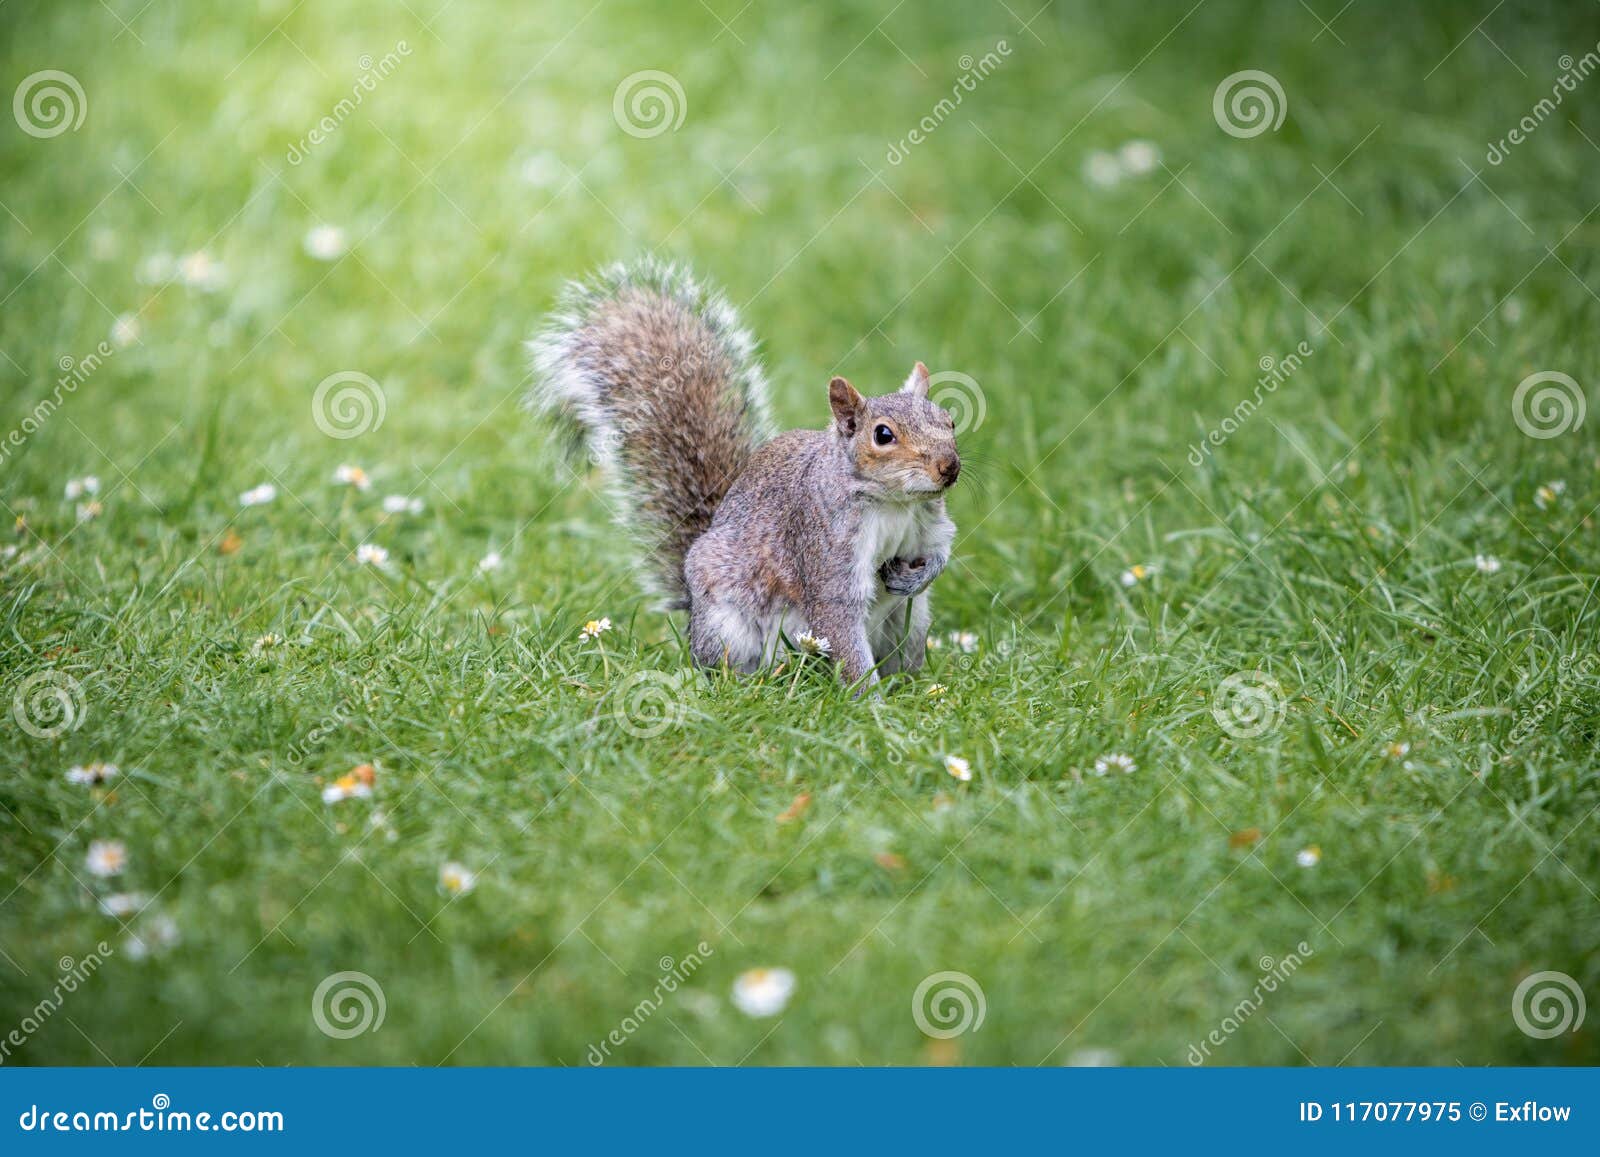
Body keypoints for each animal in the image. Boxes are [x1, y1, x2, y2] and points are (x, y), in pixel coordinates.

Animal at [528, 257, 959, 690]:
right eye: (883, 435)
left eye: (949, 420)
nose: (949, 467)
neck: (894, 504)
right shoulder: (826, 550)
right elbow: (839, 622)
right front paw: (868, 701)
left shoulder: (928, 523)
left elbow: (939, 550)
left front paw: (919, 576)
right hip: (729, 625)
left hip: (910, 625)